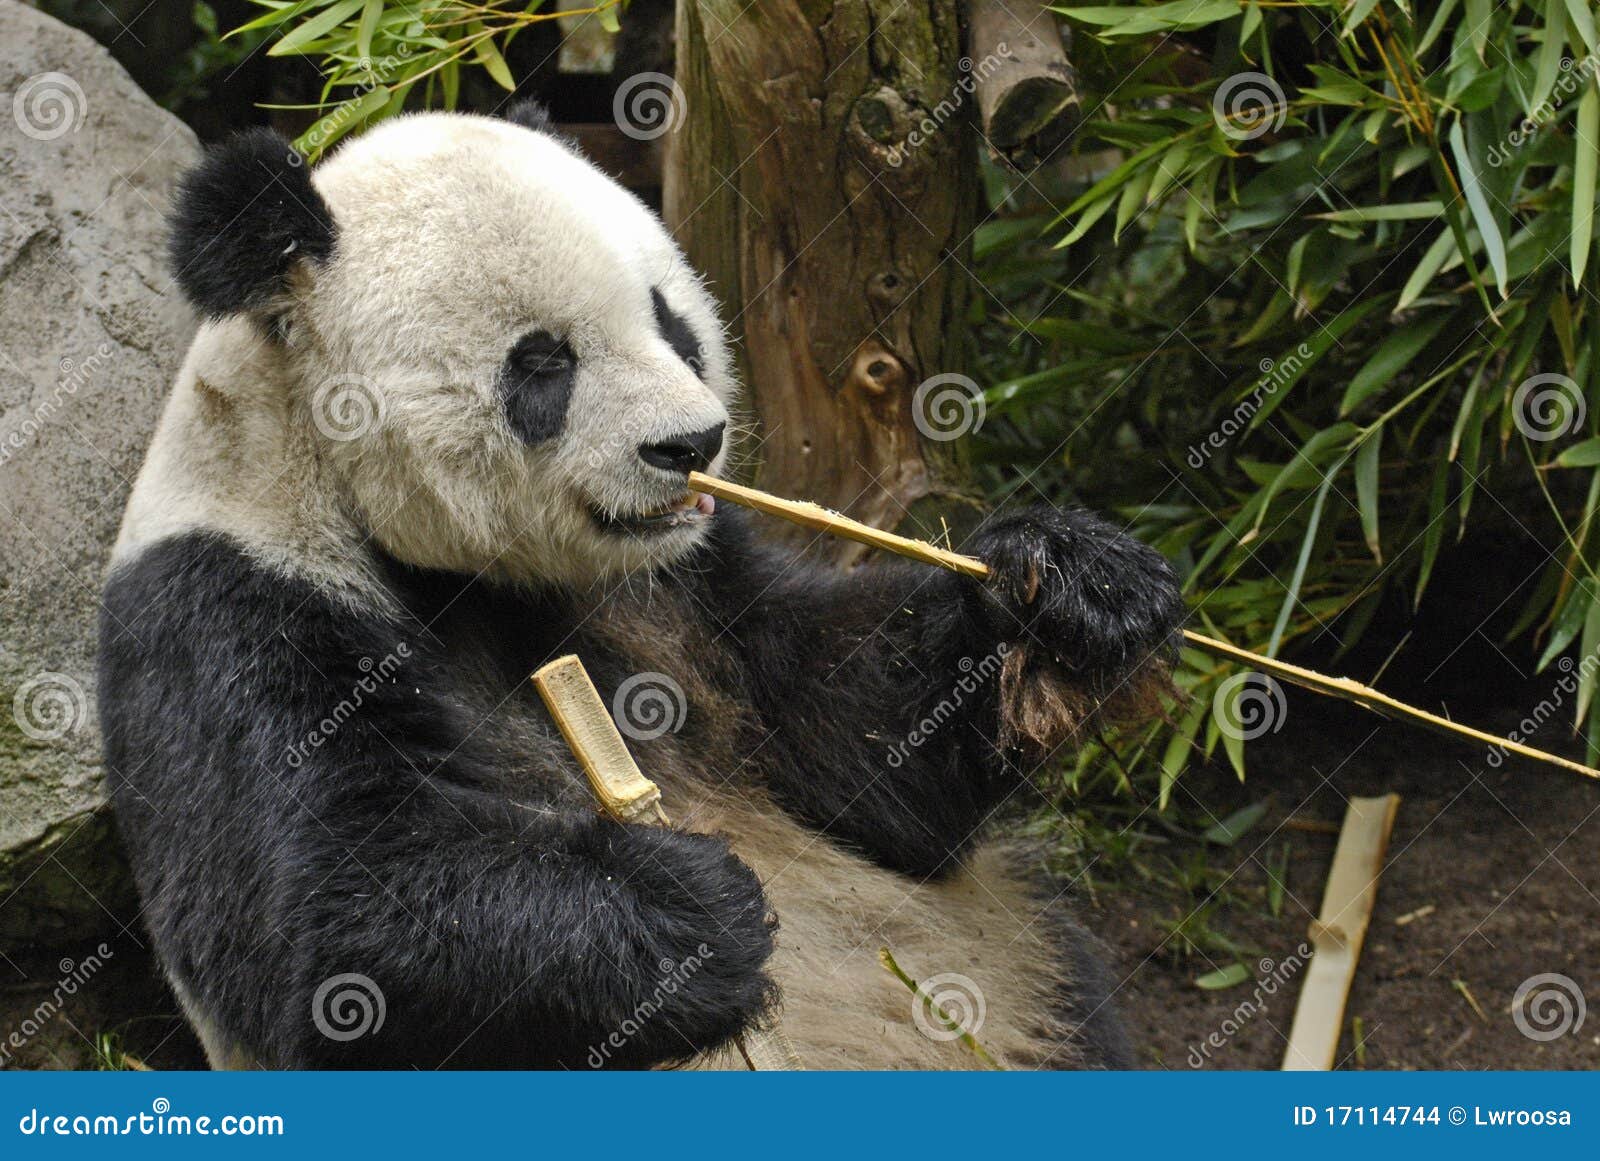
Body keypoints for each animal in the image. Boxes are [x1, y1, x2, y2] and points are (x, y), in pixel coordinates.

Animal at [97, 103, 1185, 1070]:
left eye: (671, 320)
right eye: (542, 362)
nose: (691, 445)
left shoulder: (692, 584)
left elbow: (855, 753)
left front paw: (1067, 585)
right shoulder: (234, 603)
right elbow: (325, 931)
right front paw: (692, 911)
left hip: (1013, 966)